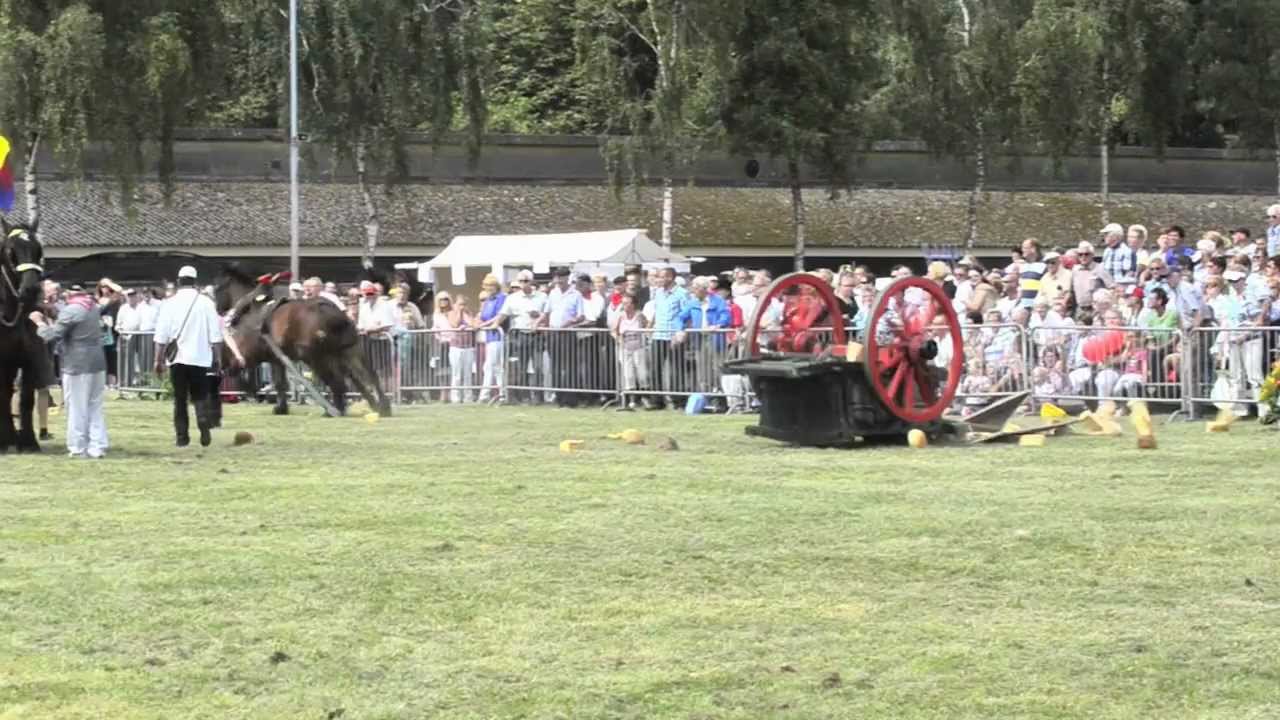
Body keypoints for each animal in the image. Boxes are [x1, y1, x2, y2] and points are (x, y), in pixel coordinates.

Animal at [215, 266, 392, 418]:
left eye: (217, 288)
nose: (218, 310)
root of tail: (333, 314)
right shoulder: (275, 358)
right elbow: (279, 383)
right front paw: (280, 407)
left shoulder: (258, 355)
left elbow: (267, 379)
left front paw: (273, 403)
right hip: (348, 349)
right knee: (368, 375)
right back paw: (381, 406)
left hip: (316, 358)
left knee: (338, 382)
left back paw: (335, 410)